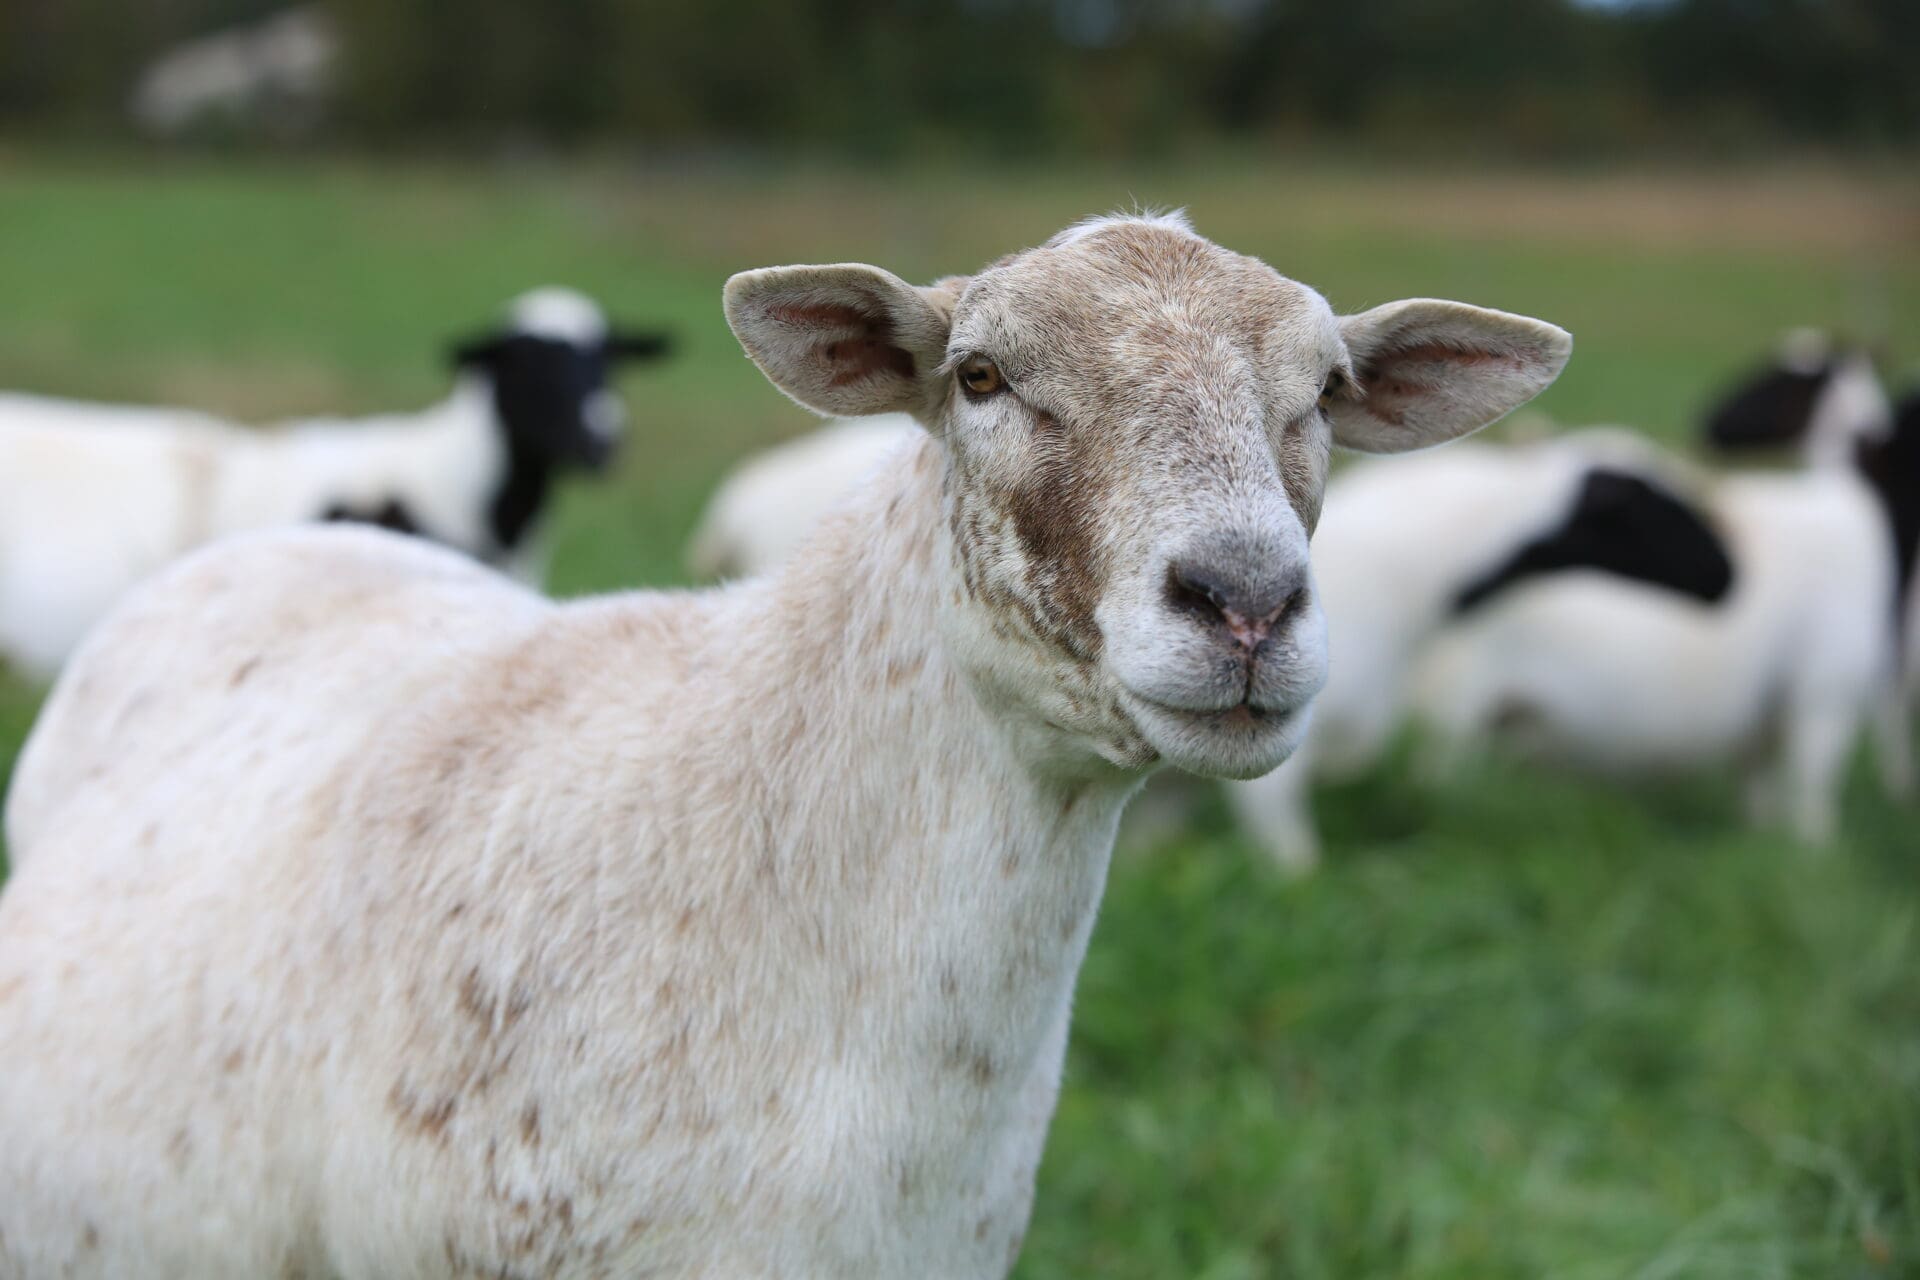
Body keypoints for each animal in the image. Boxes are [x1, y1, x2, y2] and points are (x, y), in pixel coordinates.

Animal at [1409, 403, 1920, 844]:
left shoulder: (1765, 717)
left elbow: (1760, 801)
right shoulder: (1824, 694)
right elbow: (1812, 805)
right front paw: (1810, 861)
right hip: (1452, 714)